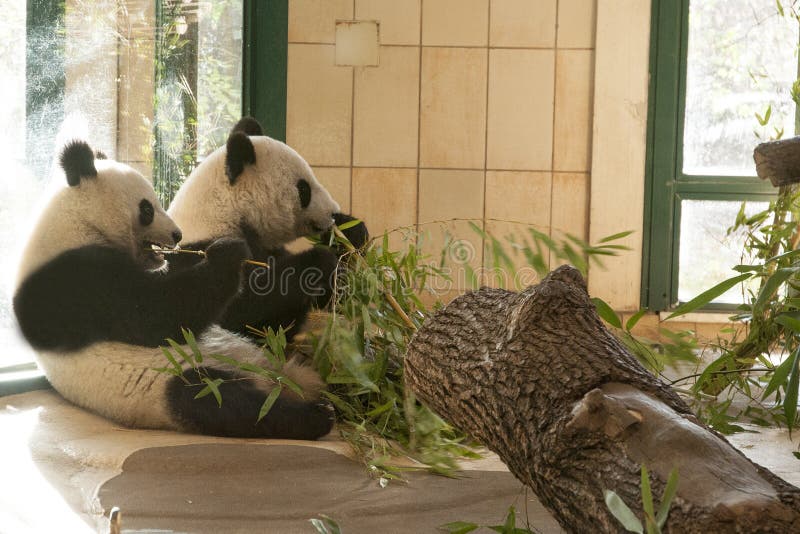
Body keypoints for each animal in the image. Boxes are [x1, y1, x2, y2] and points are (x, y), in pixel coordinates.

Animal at [13, 140, 333, 439]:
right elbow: (157, 315)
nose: (176, 234)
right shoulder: (71, 280)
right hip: (173, 379)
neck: (74, 221)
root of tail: (273, 378)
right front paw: (231, 254)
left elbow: (264, 327)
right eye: (146, 208)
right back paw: (317, 414)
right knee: (222, 402)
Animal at [167, 117, 368, 340]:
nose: (332, 212)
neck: (225, 212)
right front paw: (320, 261)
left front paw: (349, 231)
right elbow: (248, 316)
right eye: (304, 189)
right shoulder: (199, 252)